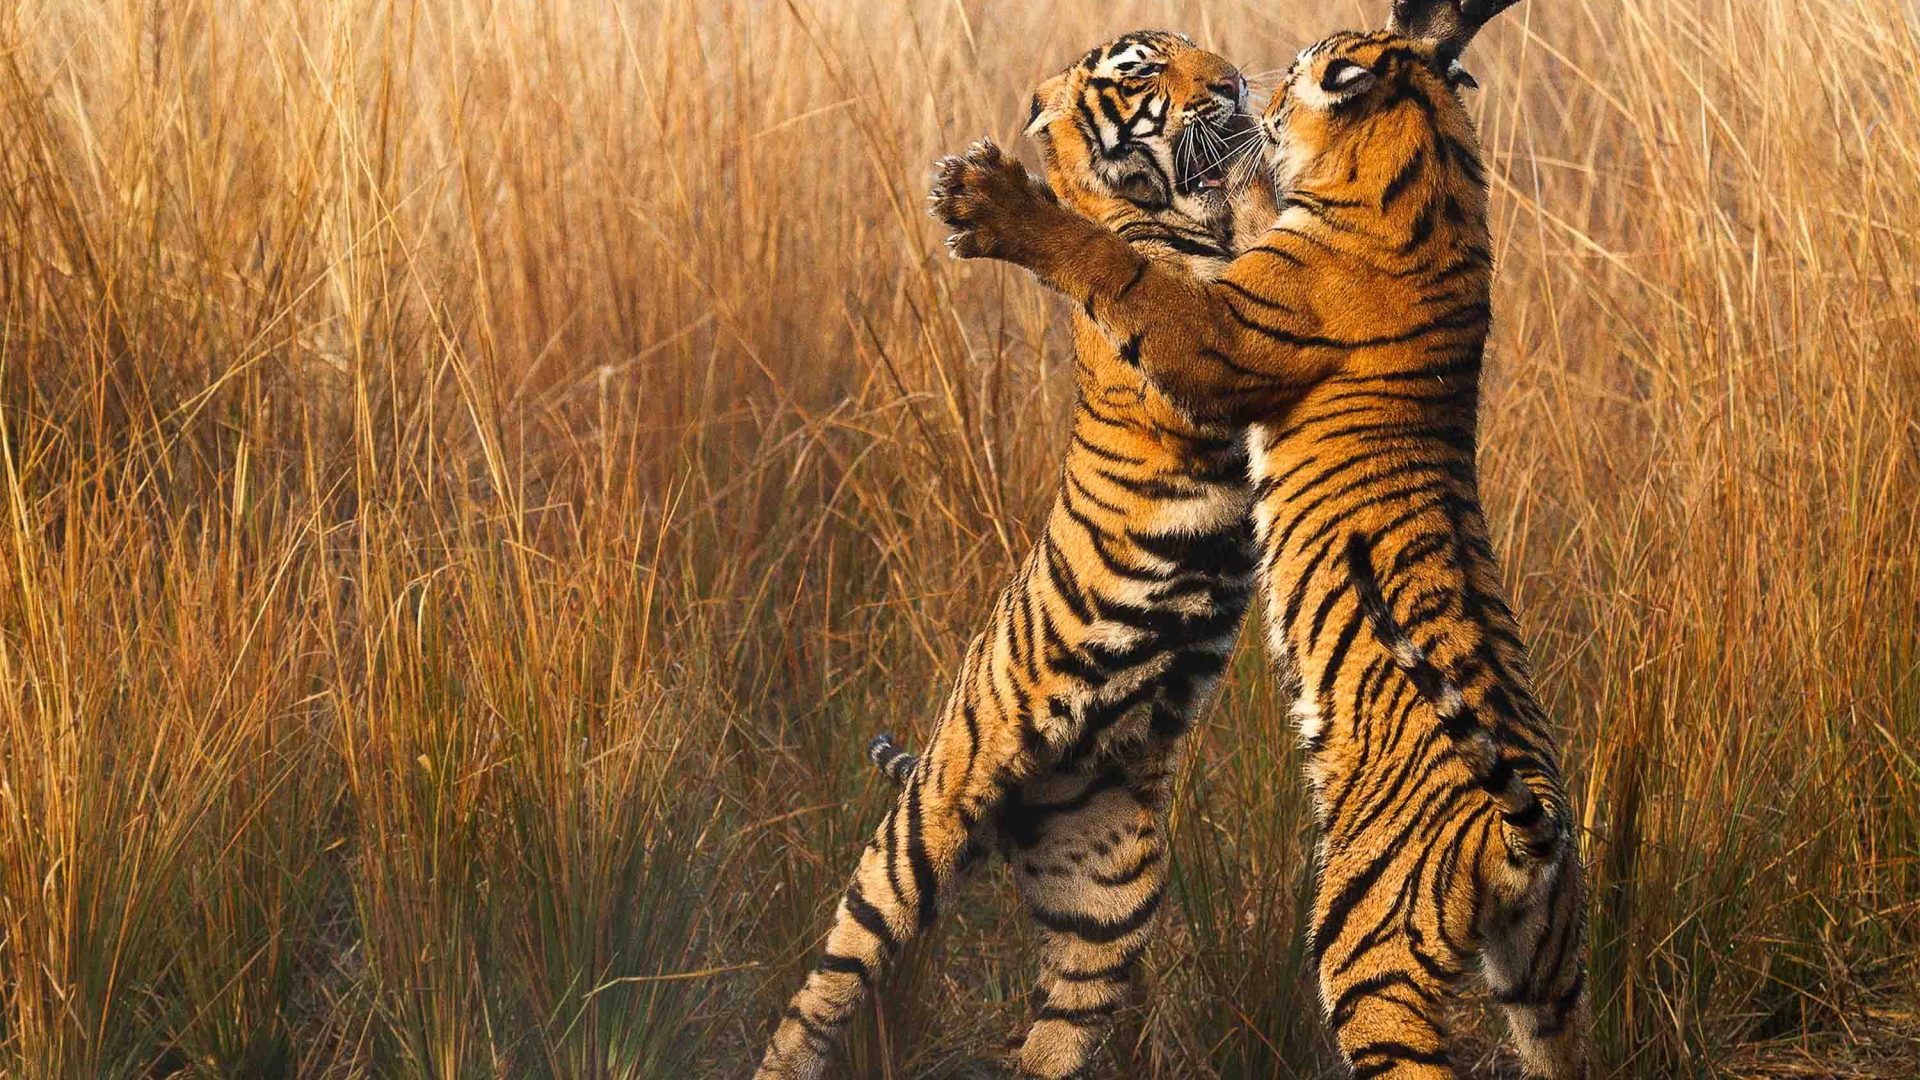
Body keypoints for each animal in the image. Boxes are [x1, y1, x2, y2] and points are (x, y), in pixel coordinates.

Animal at [755, 31, 1278, 1080]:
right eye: (1142, 70)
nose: (1237, 83)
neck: (1189, 228)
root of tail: (1017, 809)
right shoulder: (1200, 333)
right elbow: (1111, 262)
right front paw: (988, 201)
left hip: (1110, 900)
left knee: (1054, 1036)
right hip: (912, 841)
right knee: (822, 994)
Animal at [927, 1, 1593, 1077]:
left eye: (1298, 69)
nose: (1253, 89)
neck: (1441, 175)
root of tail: (1523, 830)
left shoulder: (1225, 333)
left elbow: (1123, 272)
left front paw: (997, 200)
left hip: (1368, 948)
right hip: (1548, 978)